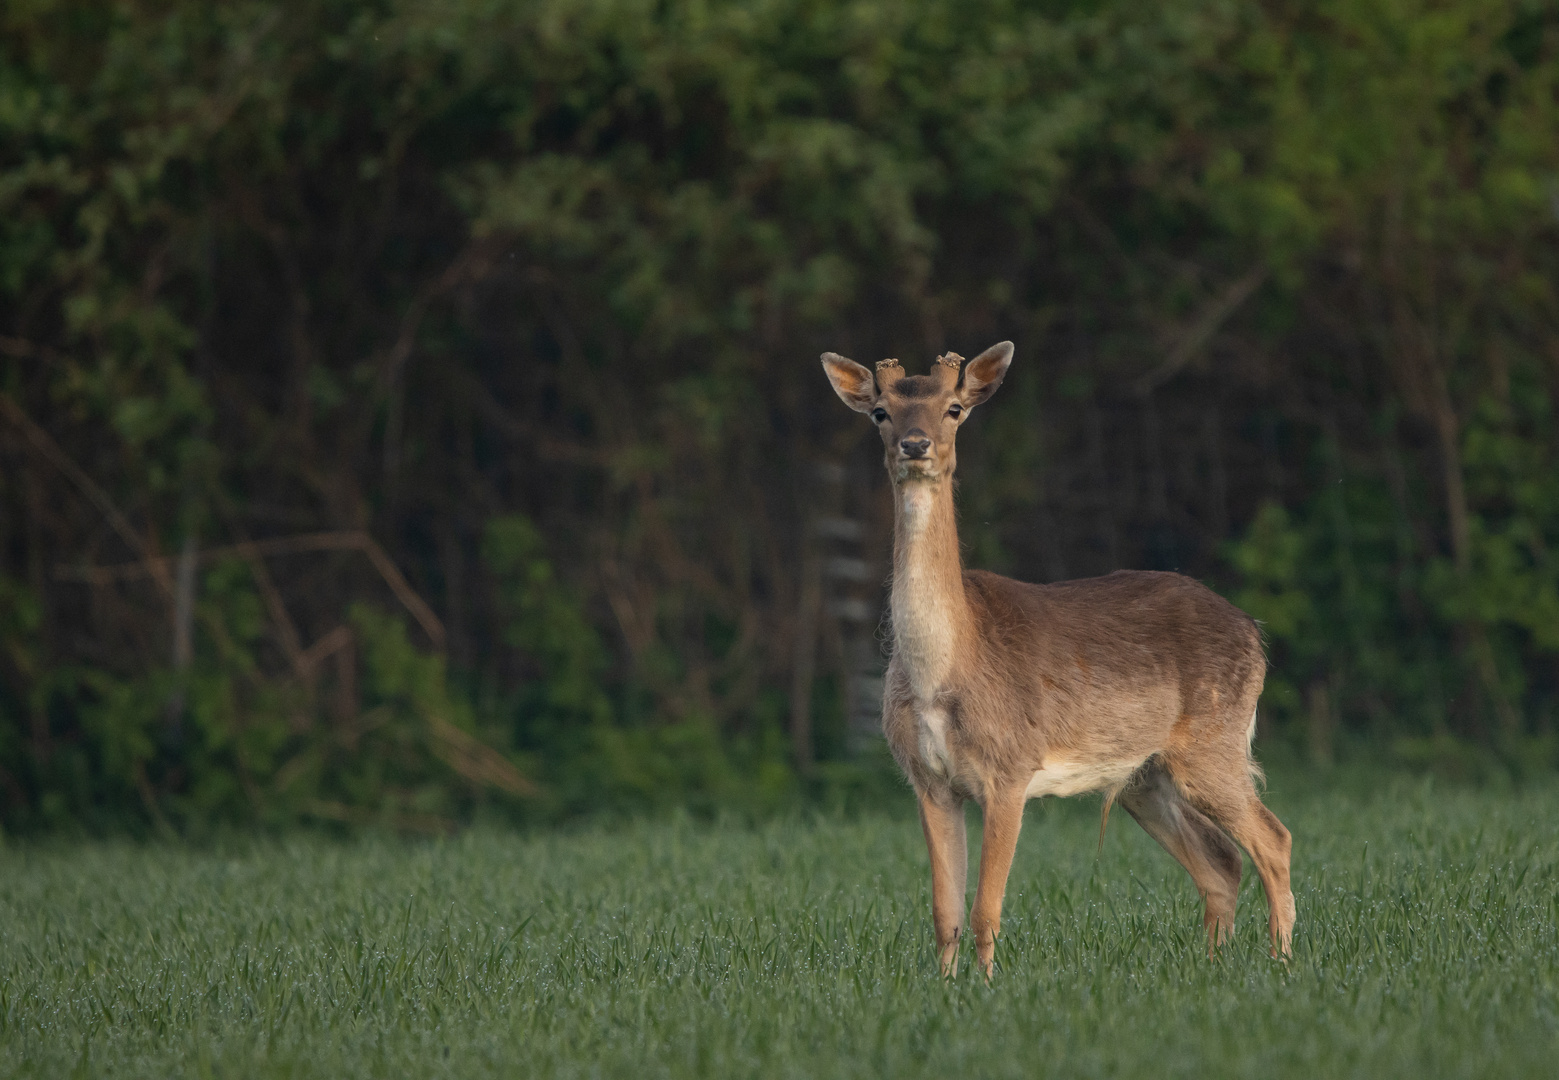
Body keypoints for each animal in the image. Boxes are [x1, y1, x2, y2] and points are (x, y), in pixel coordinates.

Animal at [820, 342, 1295, 979]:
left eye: (953, 409)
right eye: (880, 411)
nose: (915, 445)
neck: (941, 673)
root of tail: (1254, 632)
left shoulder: (1010, 768)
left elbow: (984, 912)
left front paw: (986, 988)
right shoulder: (928, 779)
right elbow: (945, 913)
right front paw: (943, 990)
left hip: (1213, 743)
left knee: (1274, 840)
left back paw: (1281, 963)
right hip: (1146, 776)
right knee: (1222, 861)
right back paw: (1212, 967)